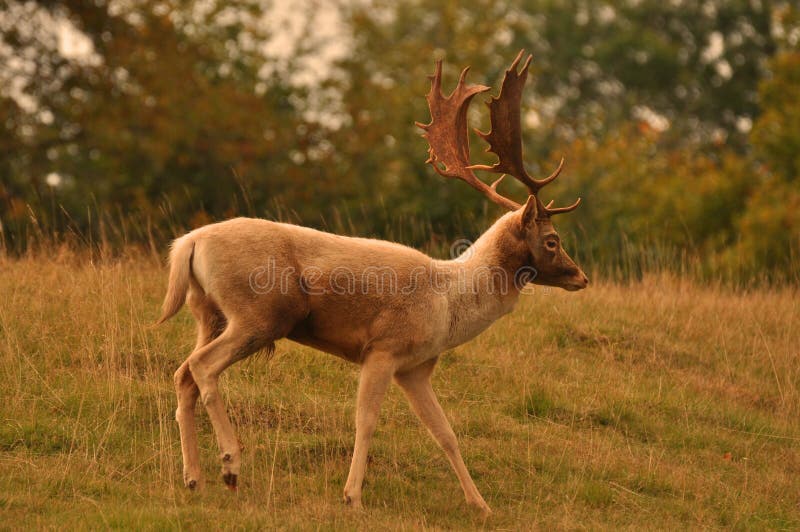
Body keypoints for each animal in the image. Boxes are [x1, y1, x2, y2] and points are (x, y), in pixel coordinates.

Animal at [158, 51, 588, 515]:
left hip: (209, 314)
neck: (450, 303)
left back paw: (194, 479)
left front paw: (481, 505)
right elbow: (366, 420)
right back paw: (230, 465)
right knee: (202, 366)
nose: (581, 277)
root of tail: (189, 242)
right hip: (258, 314)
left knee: (183, 373)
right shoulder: (383, 347)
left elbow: (446, 433)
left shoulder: (416, 368)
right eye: (552, 240)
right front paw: (352, 496)